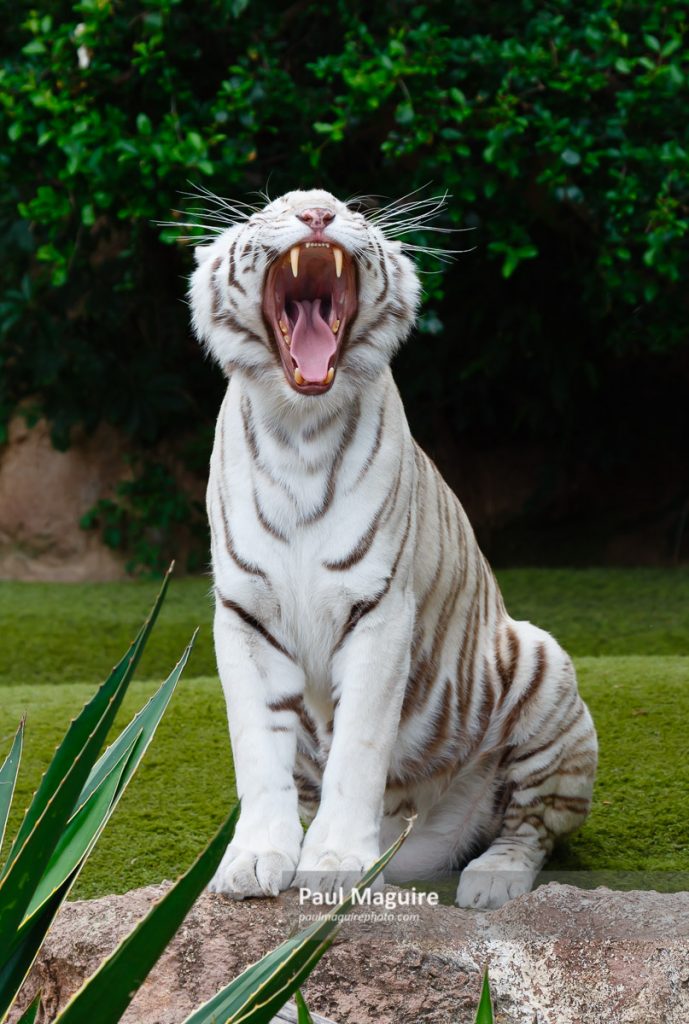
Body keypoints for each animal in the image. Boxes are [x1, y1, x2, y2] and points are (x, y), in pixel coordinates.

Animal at [188, 187, 598, 909]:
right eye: (274, 208)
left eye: (347, 208)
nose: (317, 214)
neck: (299, 428)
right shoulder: (244, 615)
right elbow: (256, 750)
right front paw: (258, 857)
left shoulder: (378, 608)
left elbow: (359, 746)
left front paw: (335, 861)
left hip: (543, 675)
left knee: (531, 826)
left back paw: (489, 879)